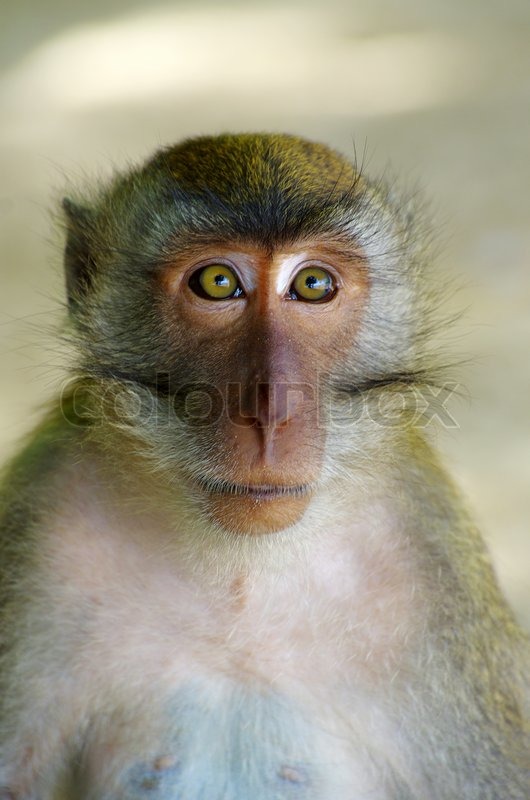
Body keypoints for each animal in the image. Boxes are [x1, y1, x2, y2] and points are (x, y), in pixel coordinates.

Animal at [0, 132, 528, 800]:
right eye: (218, 281)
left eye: (314, 284)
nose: (272, 410)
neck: (241, 574)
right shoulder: (42, 516)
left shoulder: (434, 552)